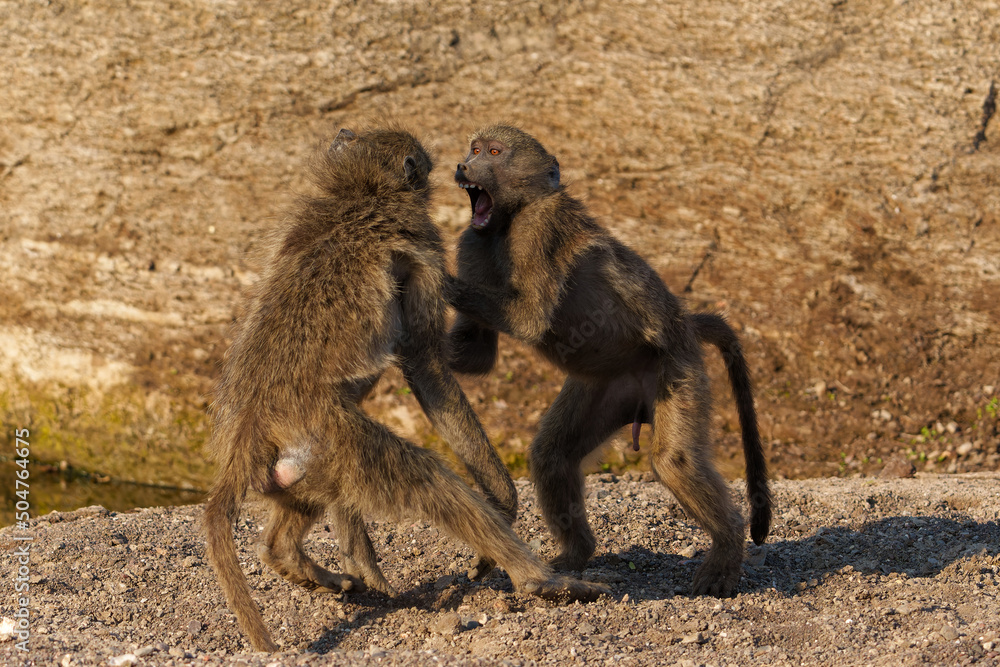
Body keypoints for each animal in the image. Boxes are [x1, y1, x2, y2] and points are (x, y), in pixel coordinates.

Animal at [203, 126, 609, 653]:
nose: (456, 167)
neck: (360, 194)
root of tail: (250, 425)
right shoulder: (422, 249)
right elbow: (424, 362)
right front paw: (502, 497)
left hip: (307, 465)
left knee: (297, 519)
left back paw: (295, 561)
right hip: (334, 441)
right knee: (427, 478)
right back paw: (541, 581)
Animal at [445, 124, 772, 597]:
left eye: (493, 152)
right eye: (473, 149)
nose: (463, 166)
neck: (512, 217)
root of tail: (685, 323)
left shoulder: (543, 229)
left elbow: (529, 319)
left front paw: (432, 274)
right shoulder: (471, 240)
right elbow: (478, 354)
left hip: (679, 368)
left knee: (674, 461)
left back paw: (726, 554)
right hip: (610, 387)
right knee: (552, 456)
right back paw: (574, 556)